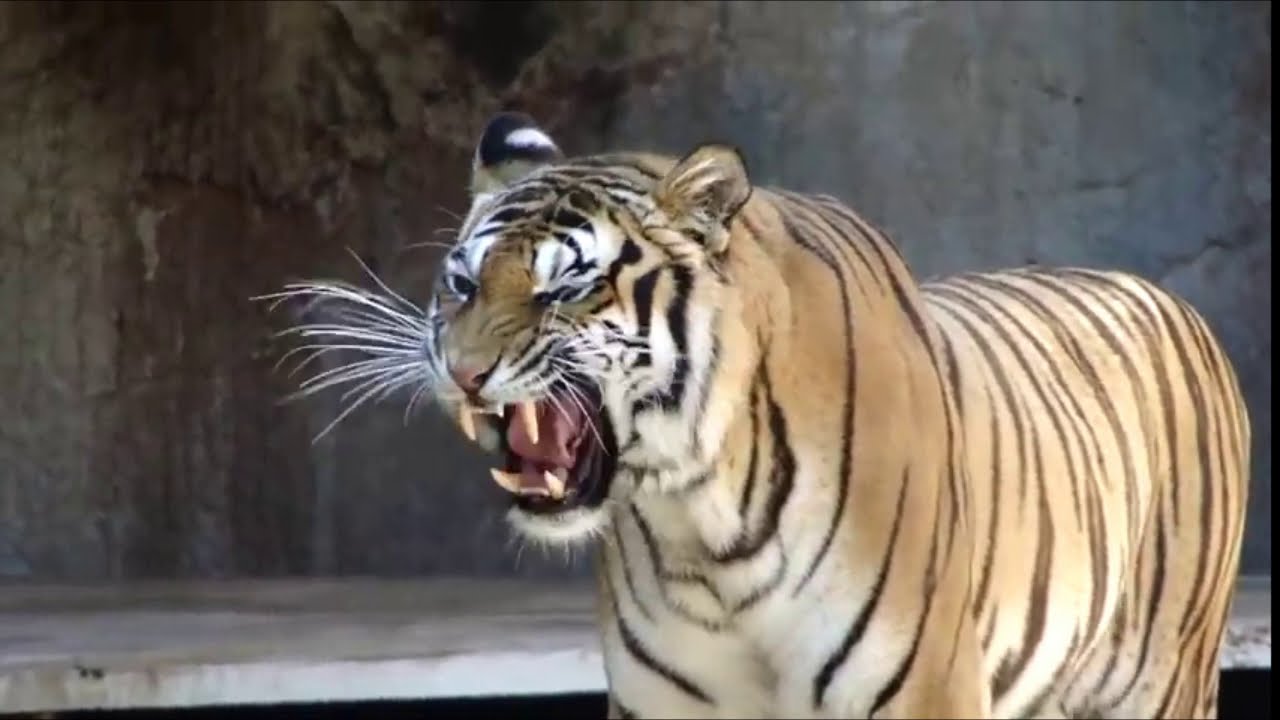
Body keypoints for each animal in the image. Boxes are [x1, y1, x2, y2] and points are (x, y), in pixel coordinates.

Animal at [285, 111, 1251, 719]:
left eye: (569, 286)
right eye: (462, 282)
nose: (463, 371)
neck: (700, 525)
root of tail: (1160, 294)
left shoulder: (921, 692)